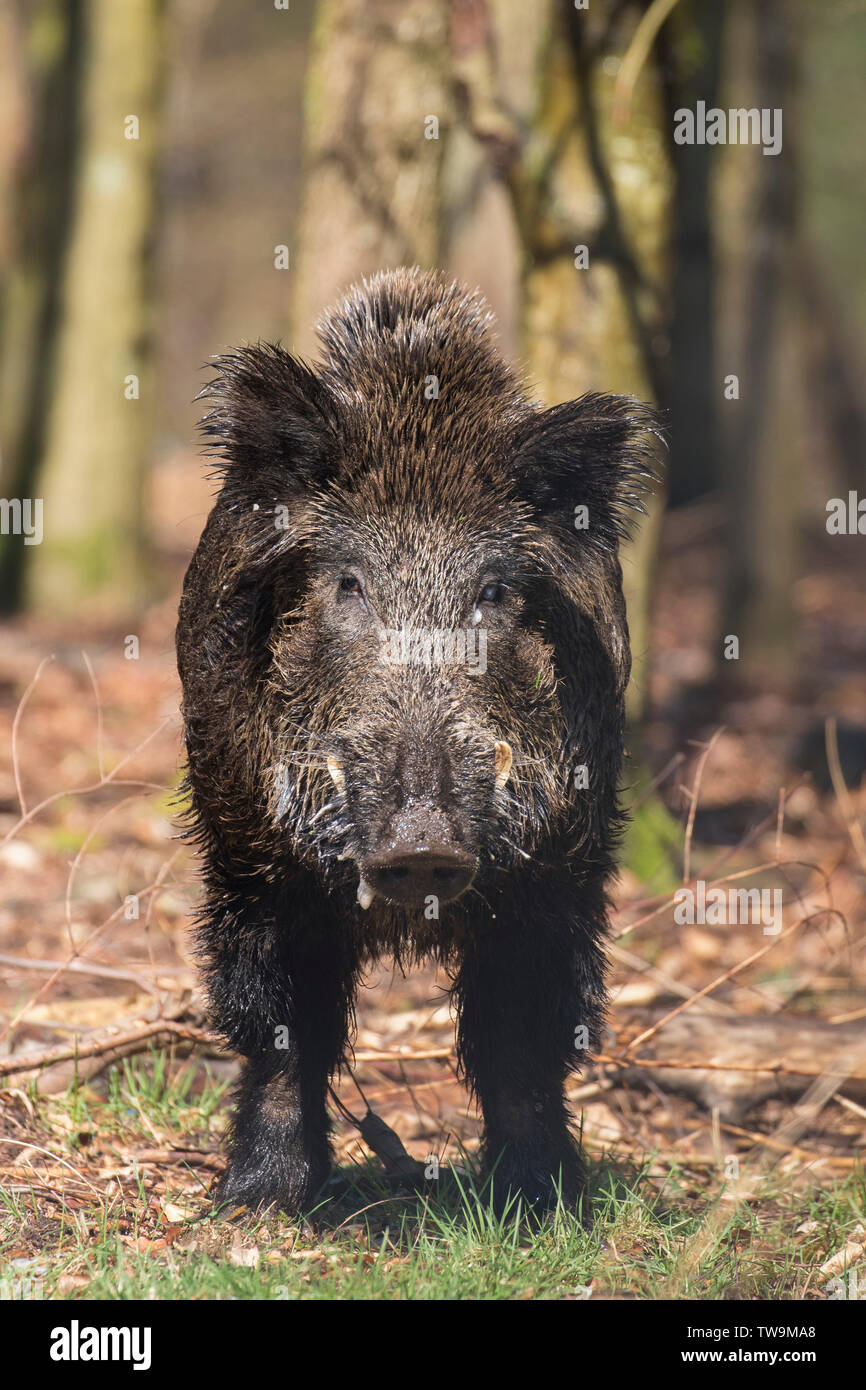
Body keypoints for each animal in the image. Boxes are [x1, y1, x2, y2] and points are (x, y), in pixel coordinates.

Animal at [176, 266, 657, 1218]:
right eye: (348, 585)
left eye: (496, 591)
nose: (422, 842)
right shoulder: (249, 855)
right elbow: (280, 1024)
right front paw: (260, 1202)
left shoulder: (563, 867)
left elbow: (523, 1036)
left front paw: (543, 1204)